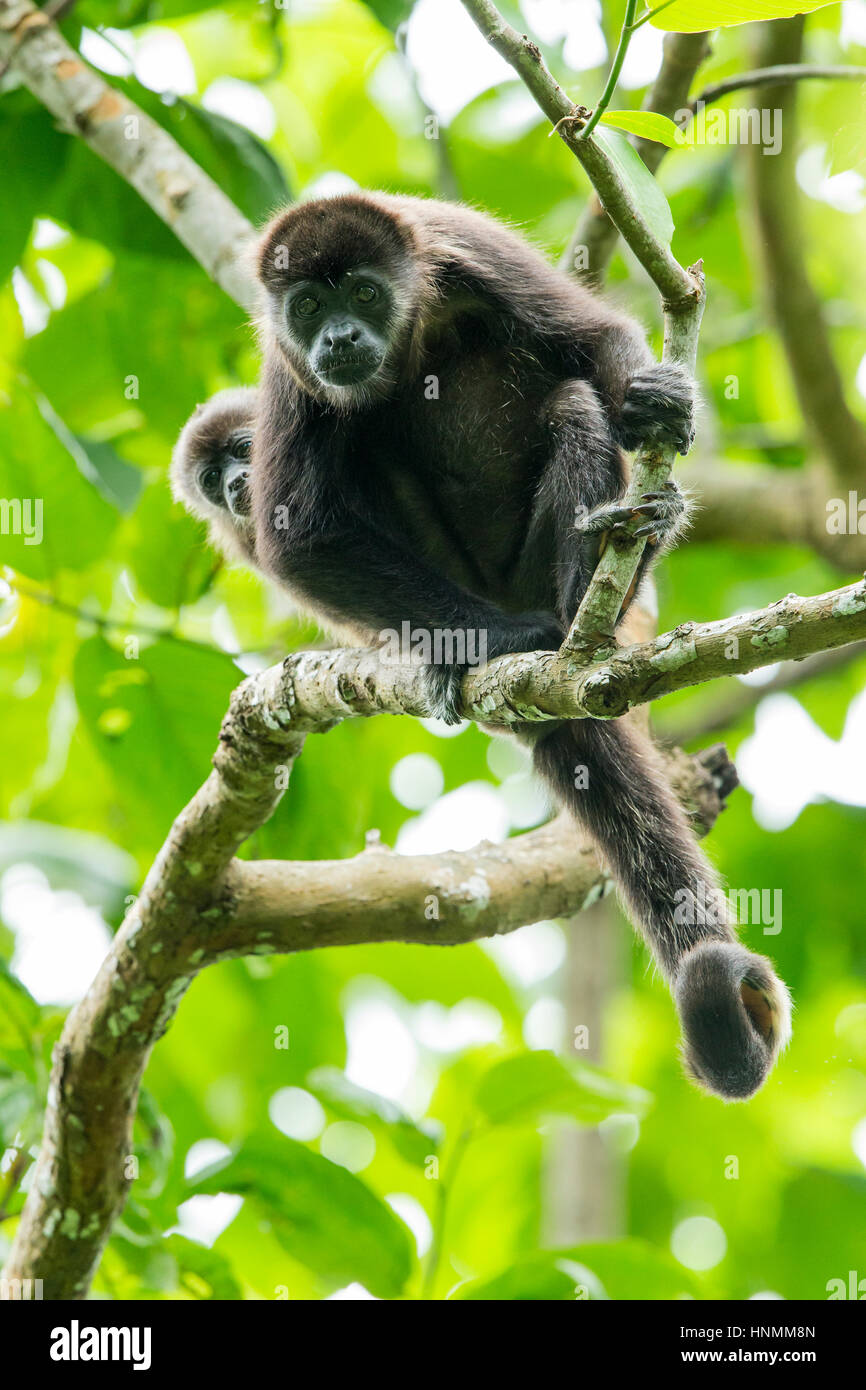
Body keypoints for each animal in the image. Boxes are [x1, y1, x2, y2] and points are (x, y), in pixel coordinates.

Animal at [249, 191, 791, 1100]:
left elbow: (593, 343)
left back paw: (597, 593)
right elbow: (300, 535)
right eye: (309, 308)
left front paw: (657, 411)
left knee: (572, 402)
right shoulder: (284, 369)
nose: (340, 340)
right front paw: (492, 641)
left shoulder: (465, 249)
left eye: (362, 294)